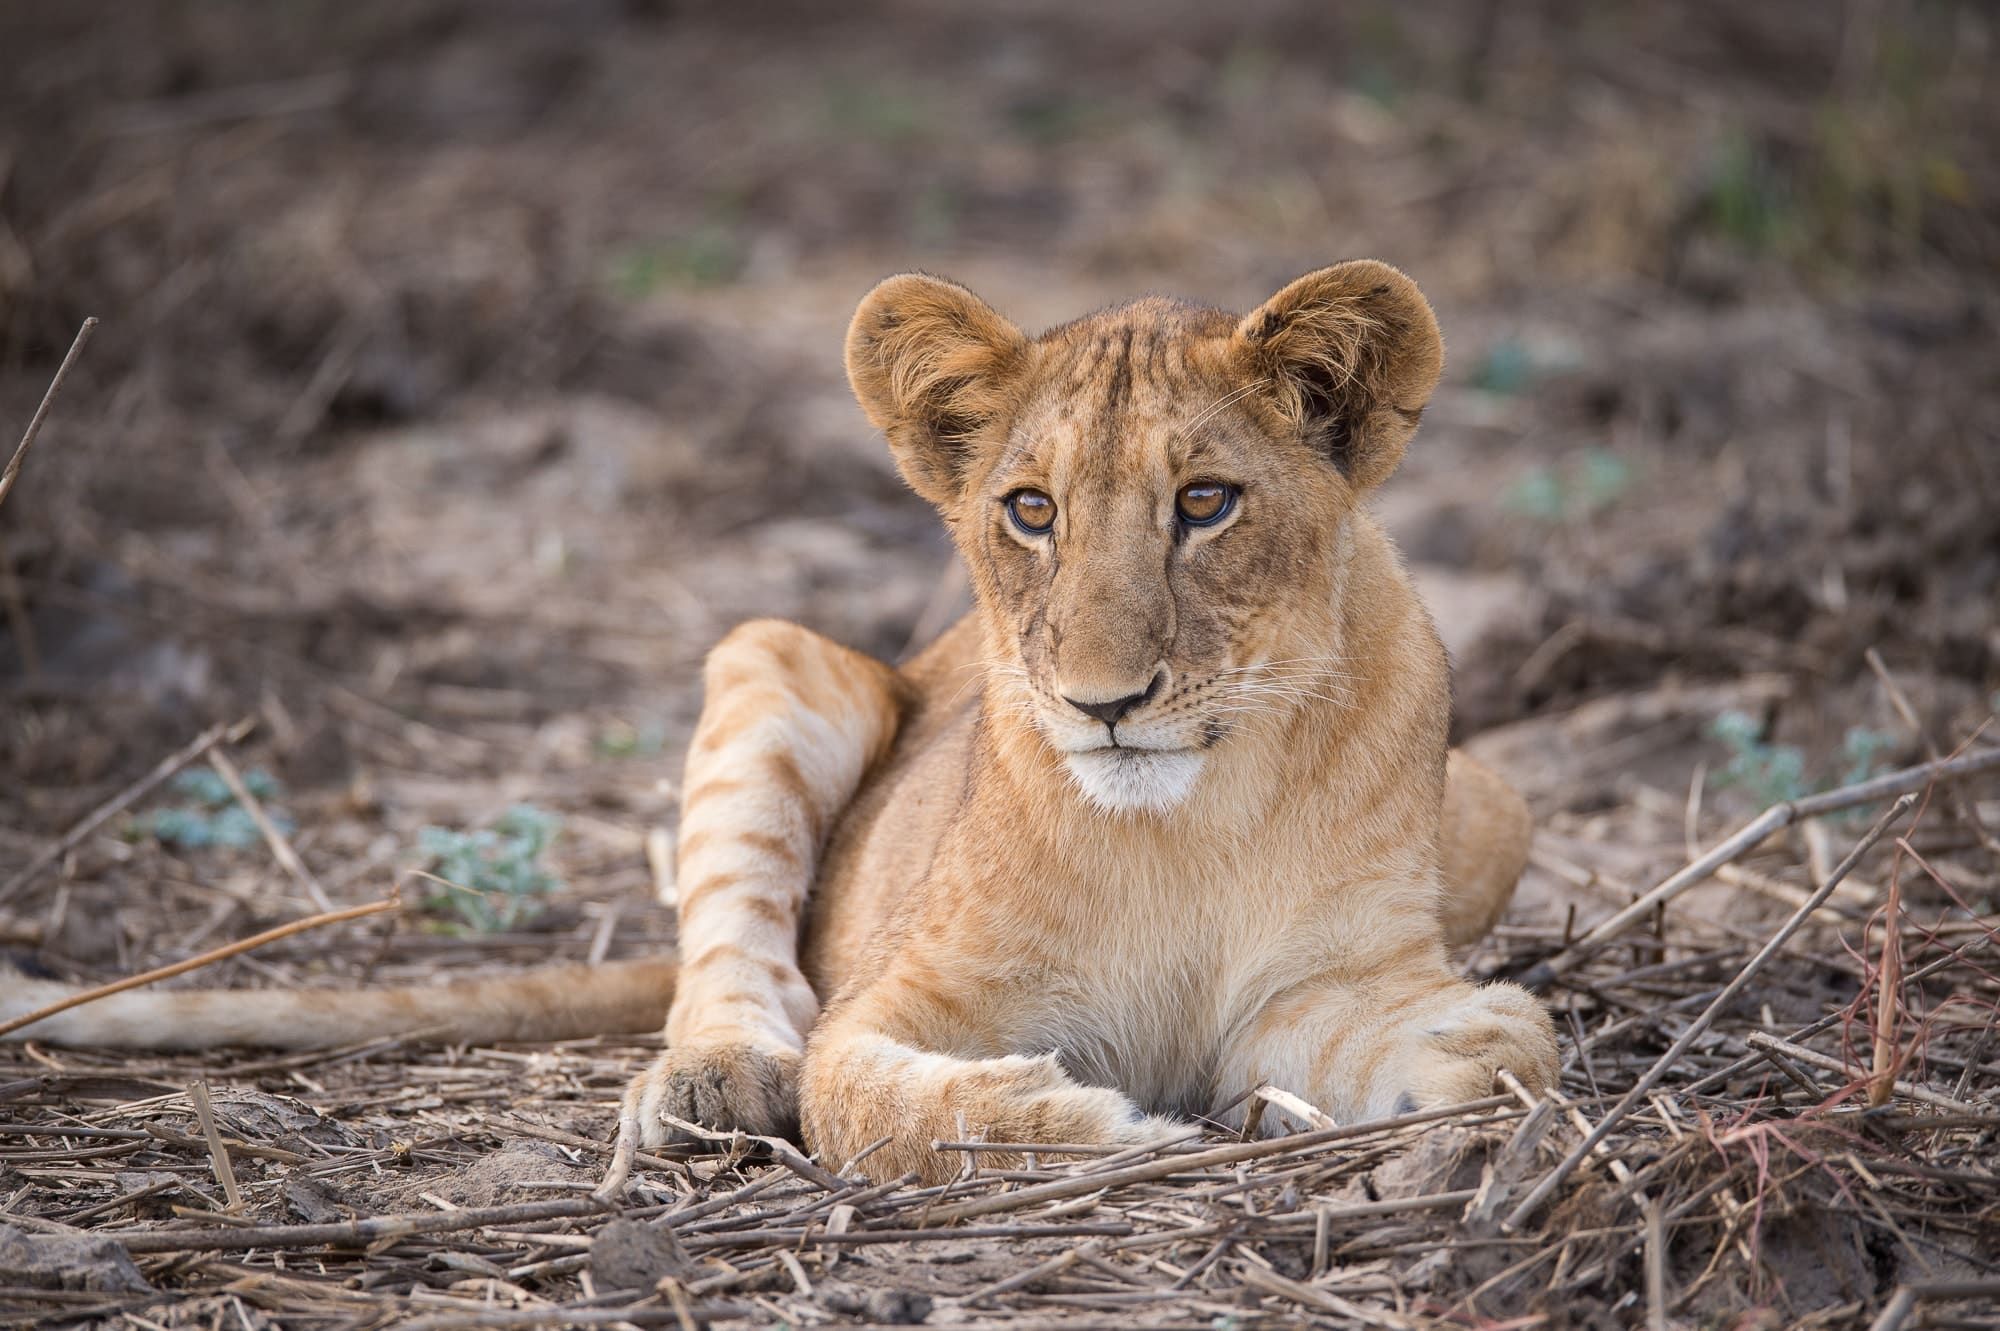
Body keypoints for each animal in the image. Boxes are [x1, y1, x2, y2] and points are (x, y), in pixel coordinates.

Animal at [2, 262, 1558, 1185]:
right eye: (1031, 510)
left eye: (1206, 502)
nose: (1103, 702)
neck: (1189, 817)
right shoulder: (900, 999)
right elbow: (870, 1094)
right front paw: (1096, 1120)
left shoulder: (1317, 989)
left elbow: (1491, 1045)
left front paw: (1459, 1090)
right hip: (777, 660)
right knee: (736, 948)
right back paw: (706, 1079)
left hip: (1497, 799)